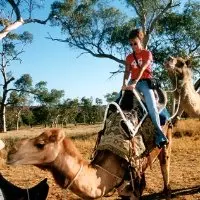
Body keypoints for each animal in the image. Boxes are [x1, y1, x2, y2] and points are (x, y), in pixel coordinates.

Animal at [6, 91, 172, 200]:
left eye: (40, 144)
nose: (10, 154)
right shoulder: (123, 188)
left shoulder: (136, 185)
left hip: (167, 136)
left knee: (165, 162)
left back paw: (167, 191)